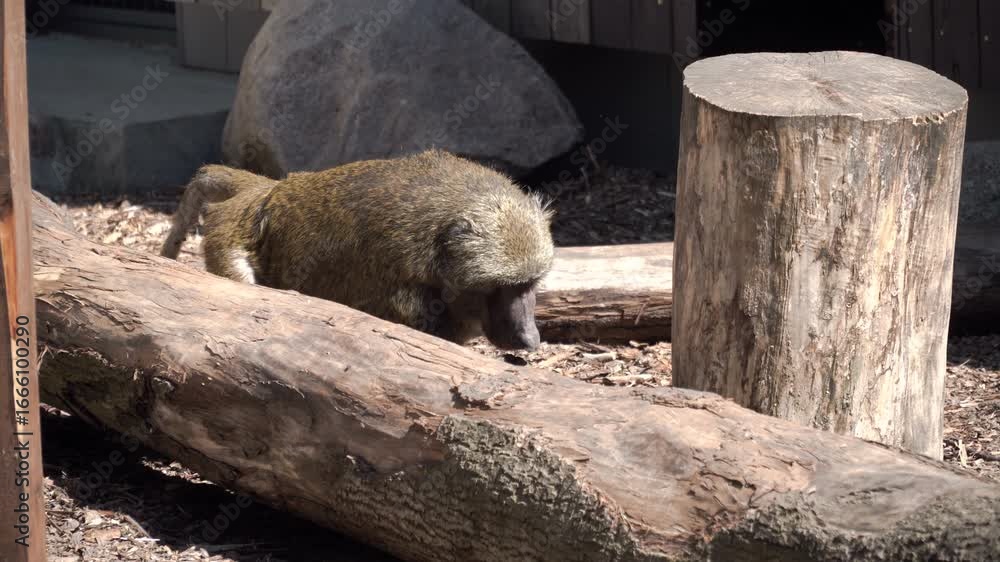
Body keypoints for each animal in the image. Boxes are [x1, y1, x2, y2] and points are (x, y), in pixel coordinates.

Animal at [162, 150, 554, 350]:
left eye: (530, 284)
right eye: (501, 288)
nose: (530, 340)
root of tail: (268, 192)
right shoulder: (401, 294)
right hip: (229, 237)